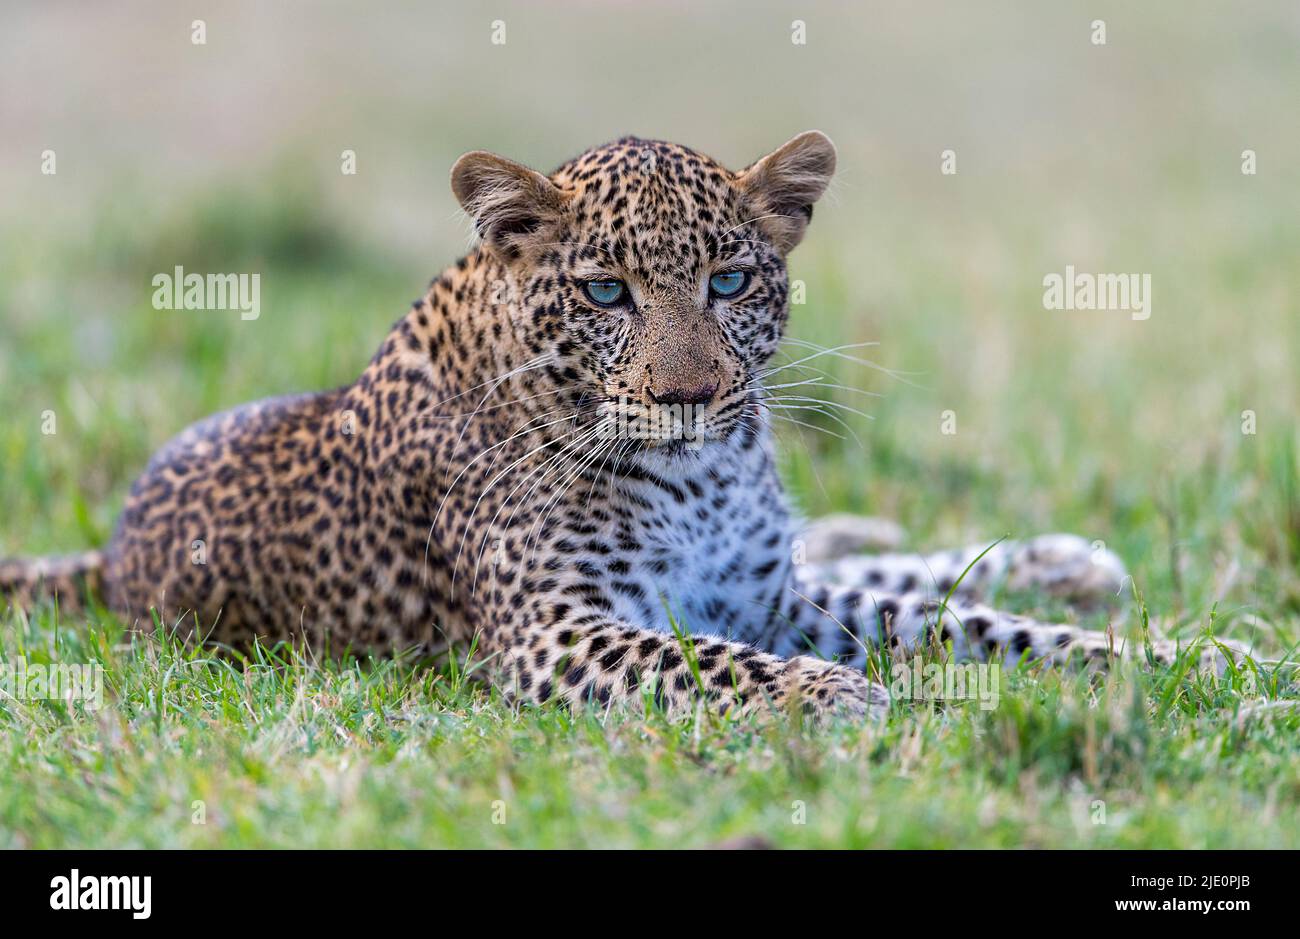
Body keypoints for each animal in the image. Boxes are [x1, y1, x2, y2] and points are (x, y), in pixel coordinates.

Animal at [0, 132, 1243, 722]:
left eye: (731, 280)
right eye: (606, 293)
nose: (692, 395)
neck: (704, 480)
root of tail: (109, 557)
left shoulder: (769, 596)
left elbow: (976, 627)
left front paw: (1177, 656)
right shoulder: (560, 632)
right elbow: (706, 661)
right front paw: (831, 695)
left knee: (876, 556)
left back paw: (1069, 565)